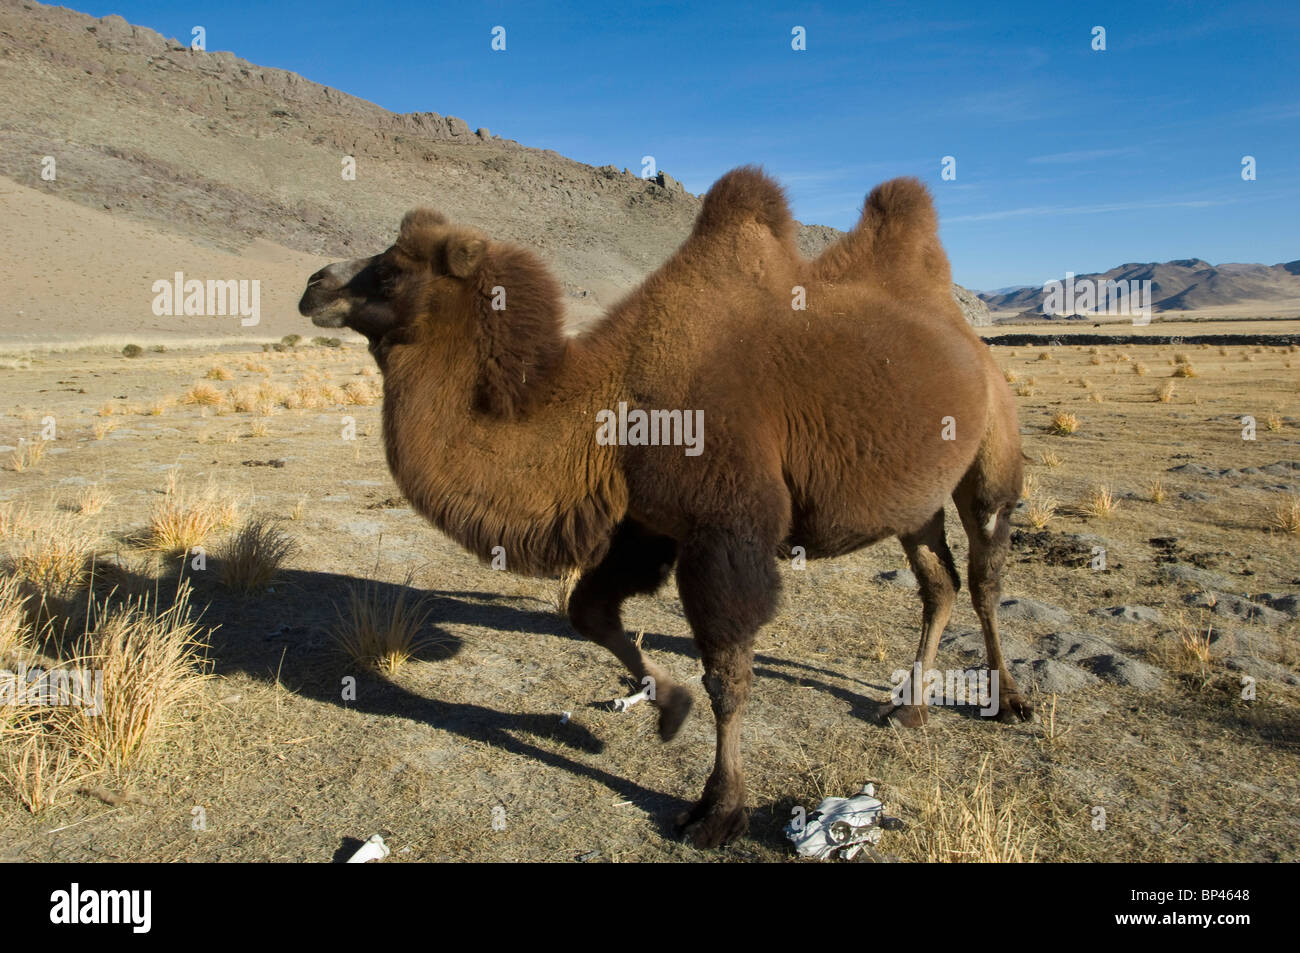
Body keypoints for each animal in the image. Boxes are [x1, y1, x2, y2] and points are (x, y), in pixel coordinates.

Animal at [298, 167, 1030, 848]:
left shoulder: (722, 531)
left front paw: (718, 811)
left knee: (985, 574)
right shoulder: (645, 524)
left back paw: (1009, 699)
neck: (613, 410)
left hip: (992, 448)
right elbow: (589, 612)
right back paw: (908, 708)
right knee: (938, 582)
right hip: (915, 499)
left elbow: (727, 677)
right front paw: (667, 706)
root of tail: (971, 341)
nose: (313, 284)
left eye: (393, 269)